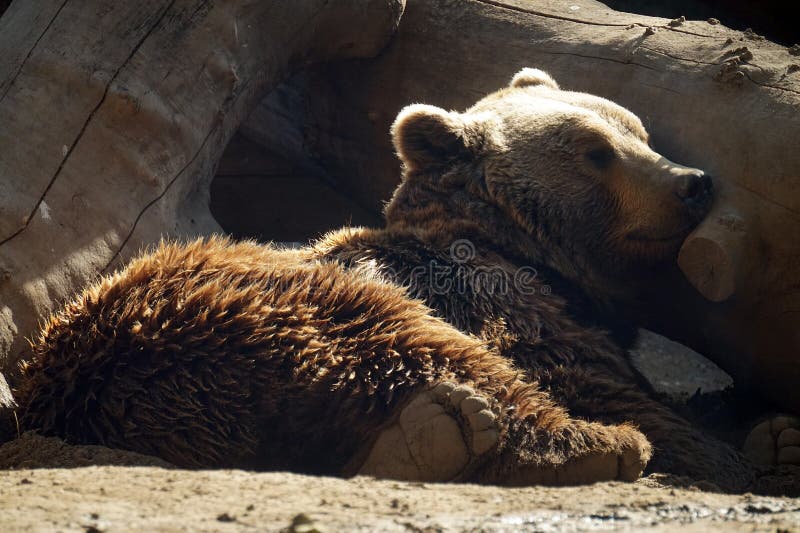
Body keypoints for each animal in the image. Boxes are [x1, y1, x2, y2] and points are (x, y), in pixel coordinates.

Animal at [4, 68, 786, 490]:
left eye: (634, 128)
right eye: (595, 152)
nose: (691, 182)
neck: (535, 255)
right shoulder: (499, 297)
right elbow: (609, 383)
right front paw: (733, 448)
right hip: (248, 295)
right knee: (420, 346)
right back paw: (582, 442)